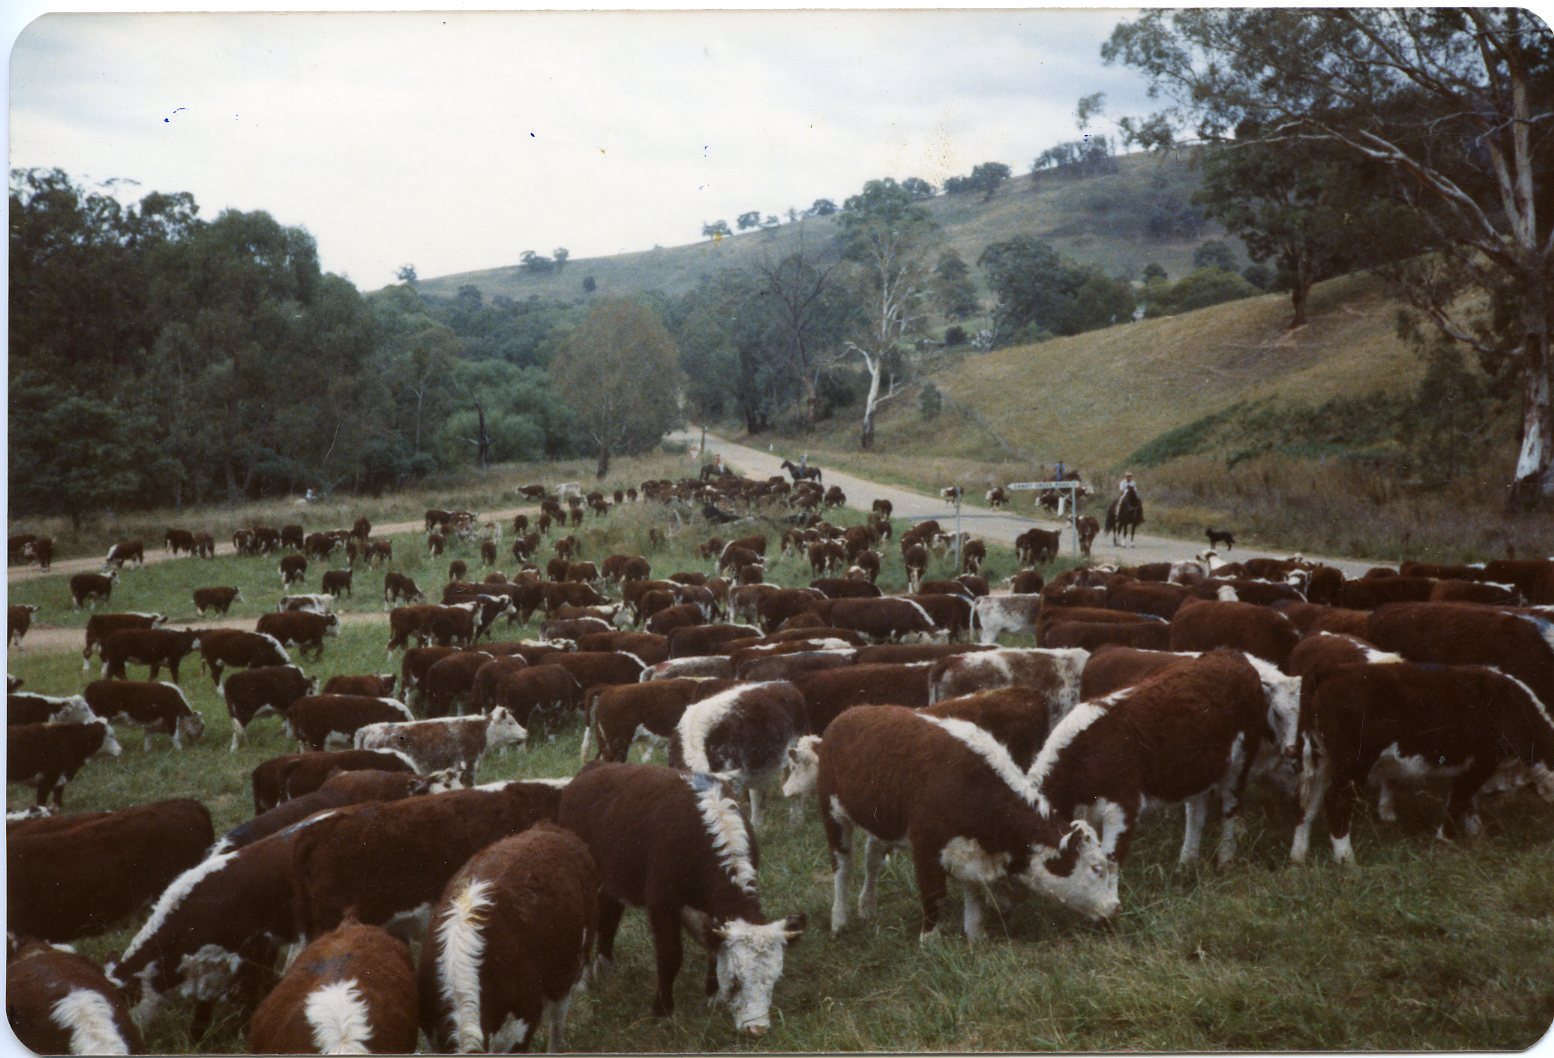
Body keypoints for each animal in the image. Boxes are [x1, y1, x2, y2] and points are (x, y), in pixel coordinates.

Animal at [557, 763, 807, 1034]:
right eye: (735, 980)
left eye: (774, 979)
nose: (757, 1029)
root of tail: (595, 767)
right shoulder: (661, 903)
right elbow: (671, 956)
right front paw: (662, 1010)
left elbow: (712, 950)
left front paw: (713, 997)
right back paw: (582, 981)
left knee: (610, 914)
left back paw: (604, 969)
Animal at [815, 705, 1118, 941]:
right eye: (1096, 868)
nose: (1114, 906)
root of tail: (849, 714)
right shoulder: (926, 847)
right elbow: (933, 892)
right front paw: (930, 939)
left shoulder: (971, 852)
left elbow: (973, 892)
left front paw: (975, 934)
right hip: (833, 816)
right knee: (843, 867)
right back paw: (839, 920)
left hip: (879, 821)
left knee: (872, 859)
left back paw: (867, 907)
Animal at [1291, 662, 1554, 864]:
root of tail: (1332, 669)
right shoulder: (1482, 762)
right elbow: (1458, 802)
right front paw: (1445, 841)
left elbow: (1466, 802)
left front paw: (1477, 835)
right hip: (1353, 762)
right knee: (1336, 800)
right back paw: (1347, 860)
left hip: (1321, 759)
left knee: (1309, 802)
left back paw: (1299, 856)